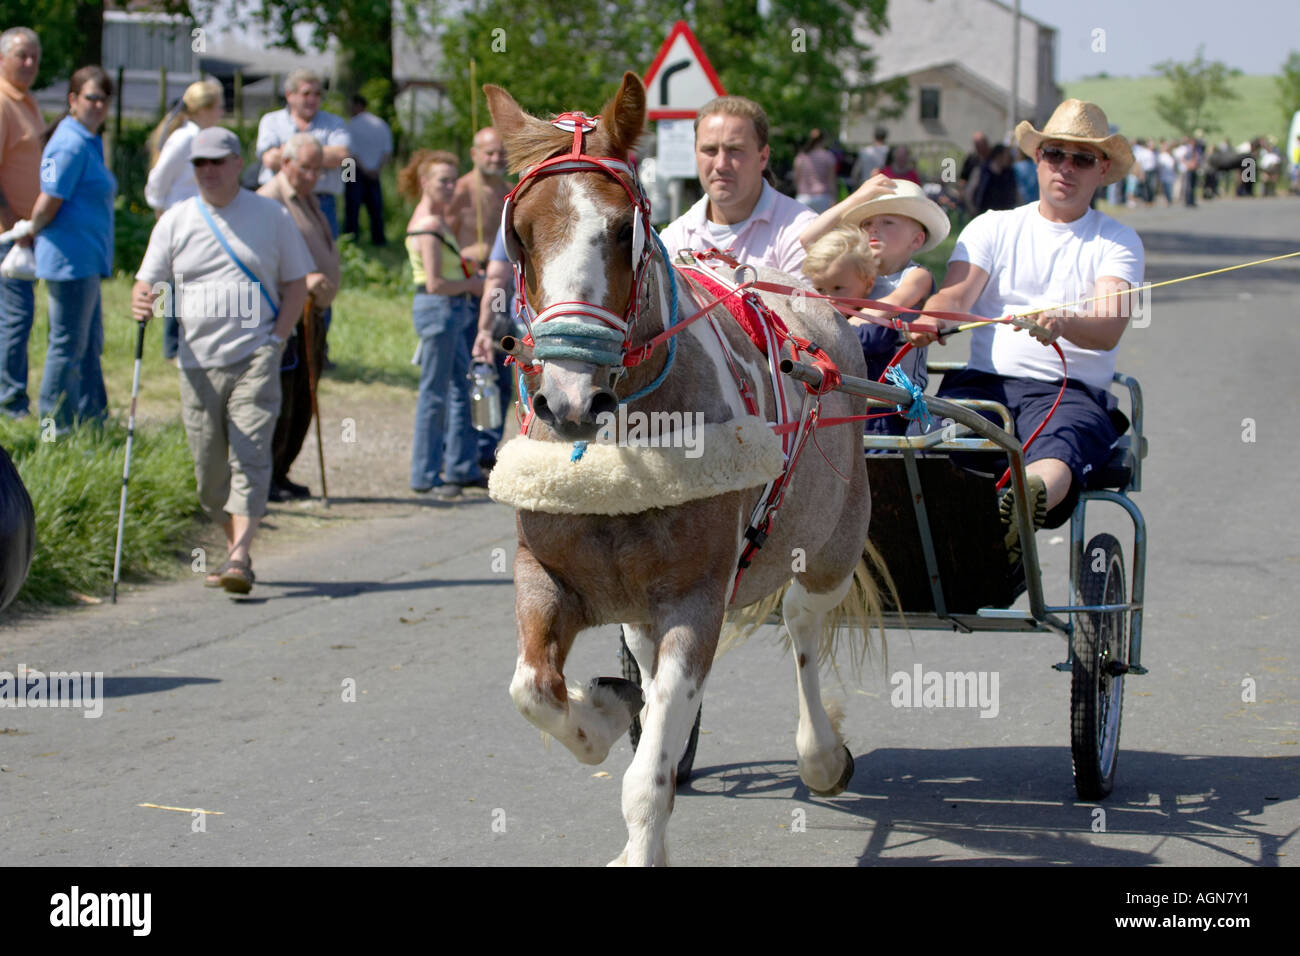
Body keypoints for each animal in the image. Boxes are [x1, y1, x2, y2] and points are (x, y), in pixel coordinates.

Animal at [485, 72, 880, 865]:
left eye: (621, 230)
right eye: (521, 234)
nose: (569, 399)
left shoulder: (695, 602)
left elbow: (647, 775)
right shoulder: (547, 578)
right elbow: (534, 690)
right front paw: (607, 711)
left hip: (832, 543)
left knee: (803, 624)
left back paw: (821, 753)